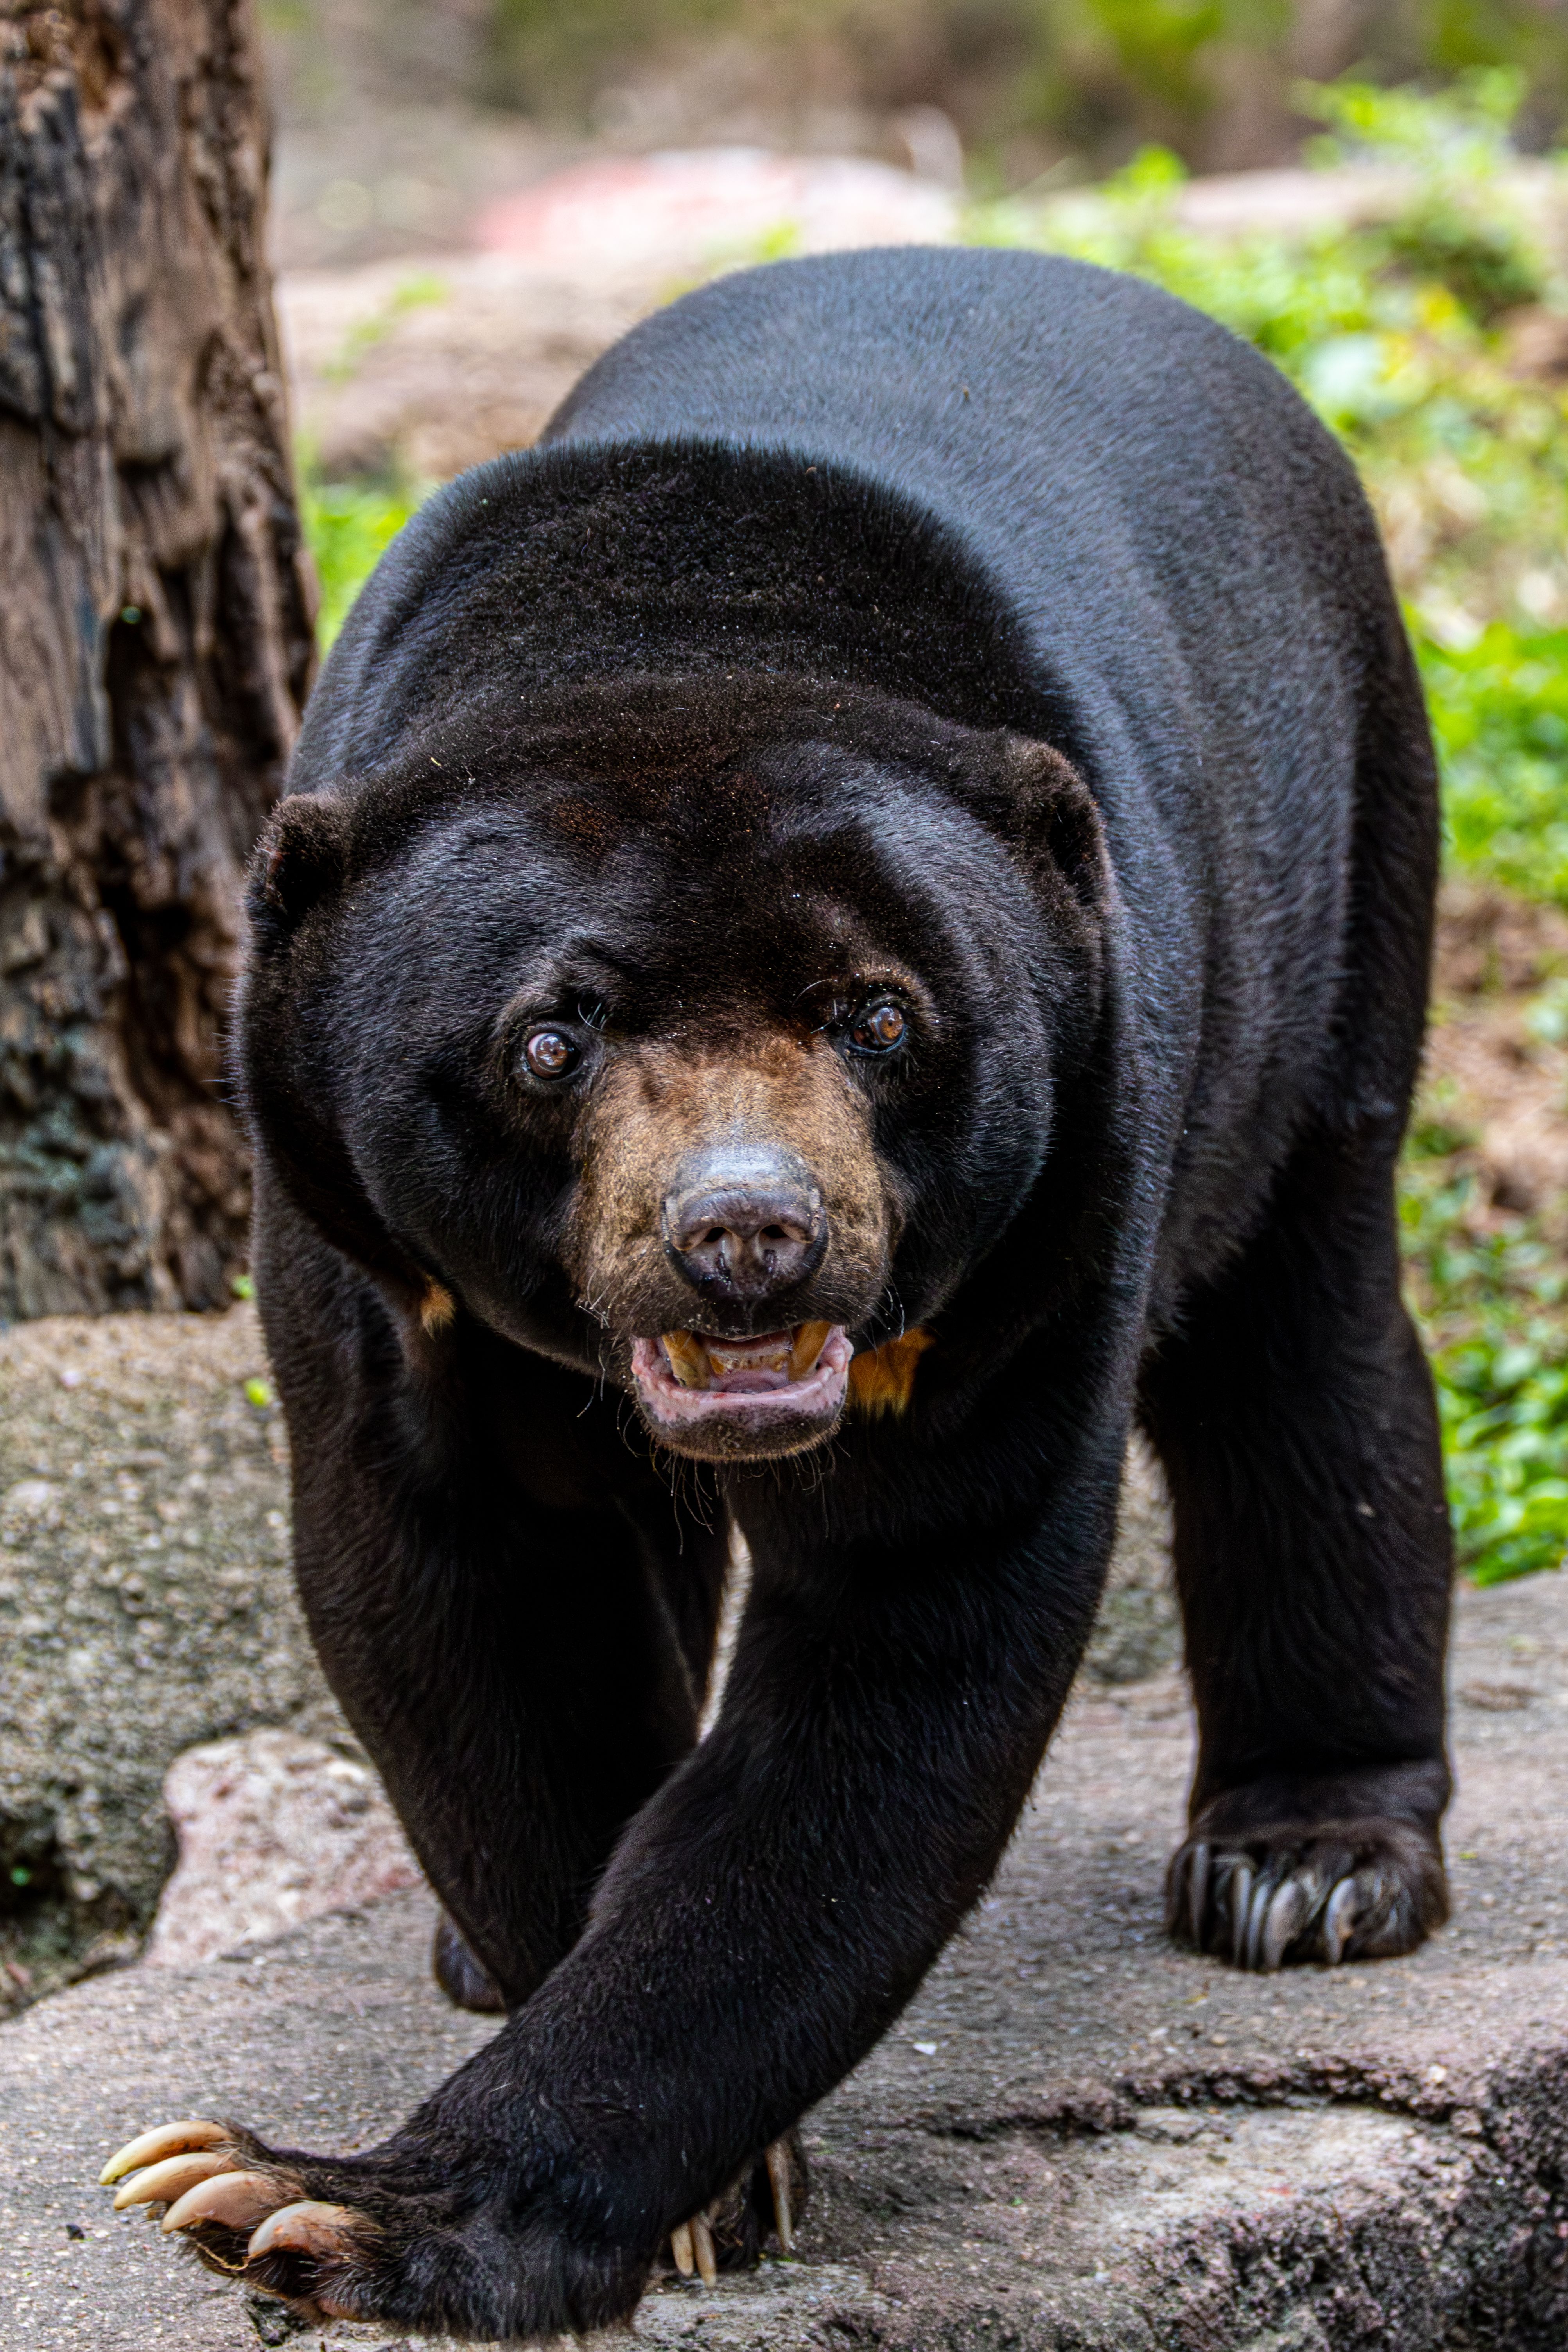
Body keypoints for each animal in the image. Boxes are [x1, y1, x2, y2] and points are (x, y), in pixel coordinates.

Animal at [101, 247, 1452, 2338]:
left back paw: (1307, 1861)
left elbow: (902, 1650)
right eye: (552, 1035)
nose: (750, 1234)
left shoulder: (1047, 1214)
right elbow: (481, 1592)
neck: (681, 619)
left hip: (1346, 859)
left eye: (878, 1015)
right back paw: (466, 1949)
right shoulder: (360, 1236)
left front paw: (310, 2202)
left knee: (1303, 1351)